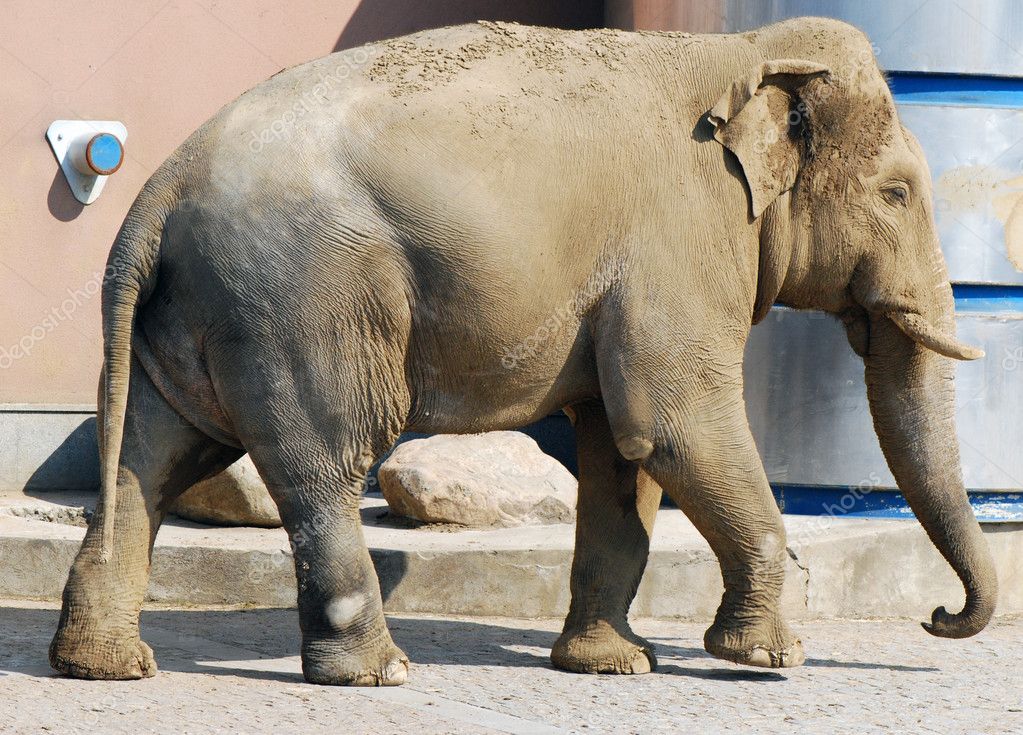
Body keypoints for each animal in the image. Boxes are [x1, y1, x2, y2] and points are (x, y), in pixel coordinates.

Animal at [50, 16, 997, 686]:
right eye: (897, 192)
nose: (938, 616)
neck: (743, 50)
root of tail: (161, 187)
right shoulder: (680, 240)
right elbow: (673, 426)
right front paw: (767, 659)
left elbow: (622, 453)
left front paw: (613, 664)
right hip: (300, 302)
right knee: (321, 464)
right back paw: (379, 673)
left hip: (193, 317)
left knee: (150, 460)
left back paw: (105, 666)